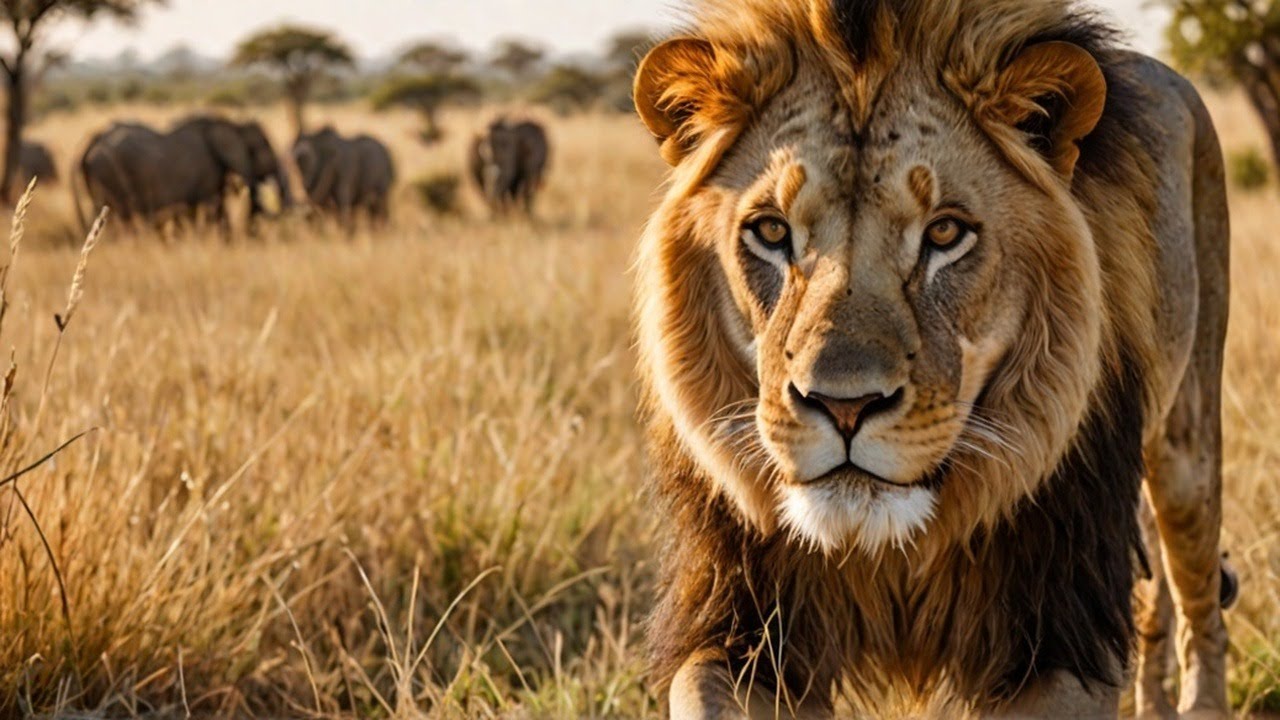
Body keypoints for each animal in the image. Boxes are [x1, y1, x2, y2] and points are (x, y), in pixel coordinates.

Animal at [75, 115, 292, 231]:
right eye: (263, 148)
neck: (230, 125)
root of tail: (92, 142)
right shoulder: (207, 172)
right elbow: (211, 209)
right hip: (108, 175)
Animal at [631, 0, 1233, 717]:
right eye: (771, 231)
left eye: (945, 232)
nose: (845, 405)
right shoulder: (744, 625)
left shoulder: (1062, 629)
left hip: (1188, 450)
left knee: (1202, 599)